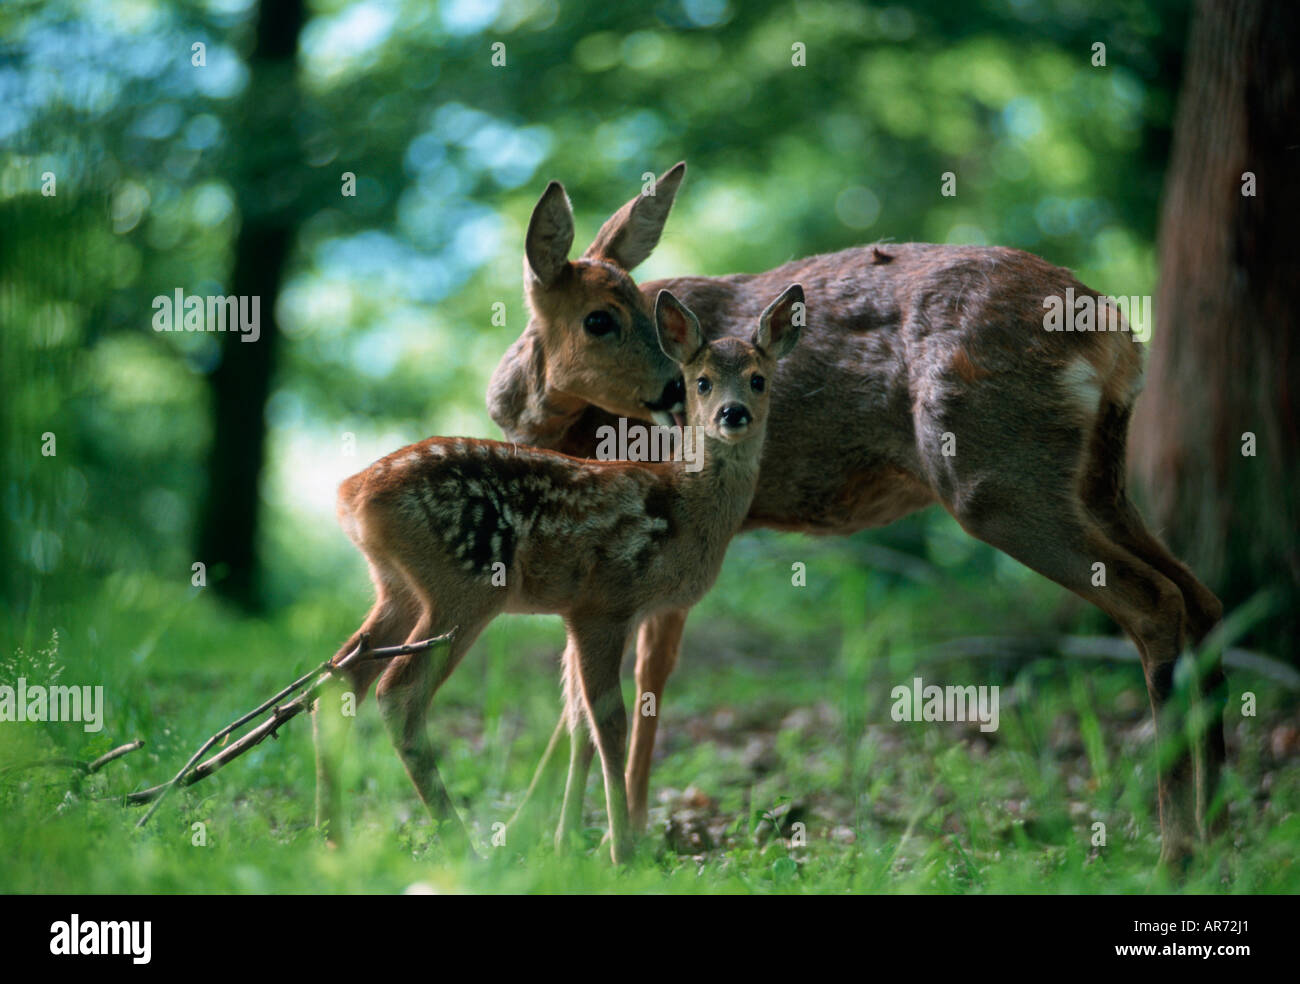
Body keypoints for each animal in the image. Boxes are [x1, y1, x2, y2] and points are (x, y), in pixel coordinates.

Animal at [314, 284, 803, 863]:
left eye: (758, 378)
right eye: (701, 381)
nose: (732, 413)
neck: (683, 510)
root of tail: (351, 495)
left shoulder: (591, 612)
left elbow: (577, 721)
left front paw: (565, 842)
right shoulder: (604, 602)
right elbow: (607, 720)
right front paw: (620, 852)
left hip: (396, 587)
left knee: (338, 679)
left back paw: (328, 836)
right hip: (465, 585)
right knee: (399, 693)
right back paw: (460, 842)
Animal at [487, 162, 1228, 866]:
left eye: (642, 308)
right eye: (600, 318)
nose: (678, 394)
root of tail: (1117, 337)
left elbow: (594, 693)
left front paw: (570, 836)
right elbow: (625, 681)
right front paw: (591, 829)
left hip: (994, 475)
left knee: (1155, 602)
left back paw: (1178, 848)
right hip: (1098, 480)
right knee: (1202, 596)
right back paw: (1221, 827)